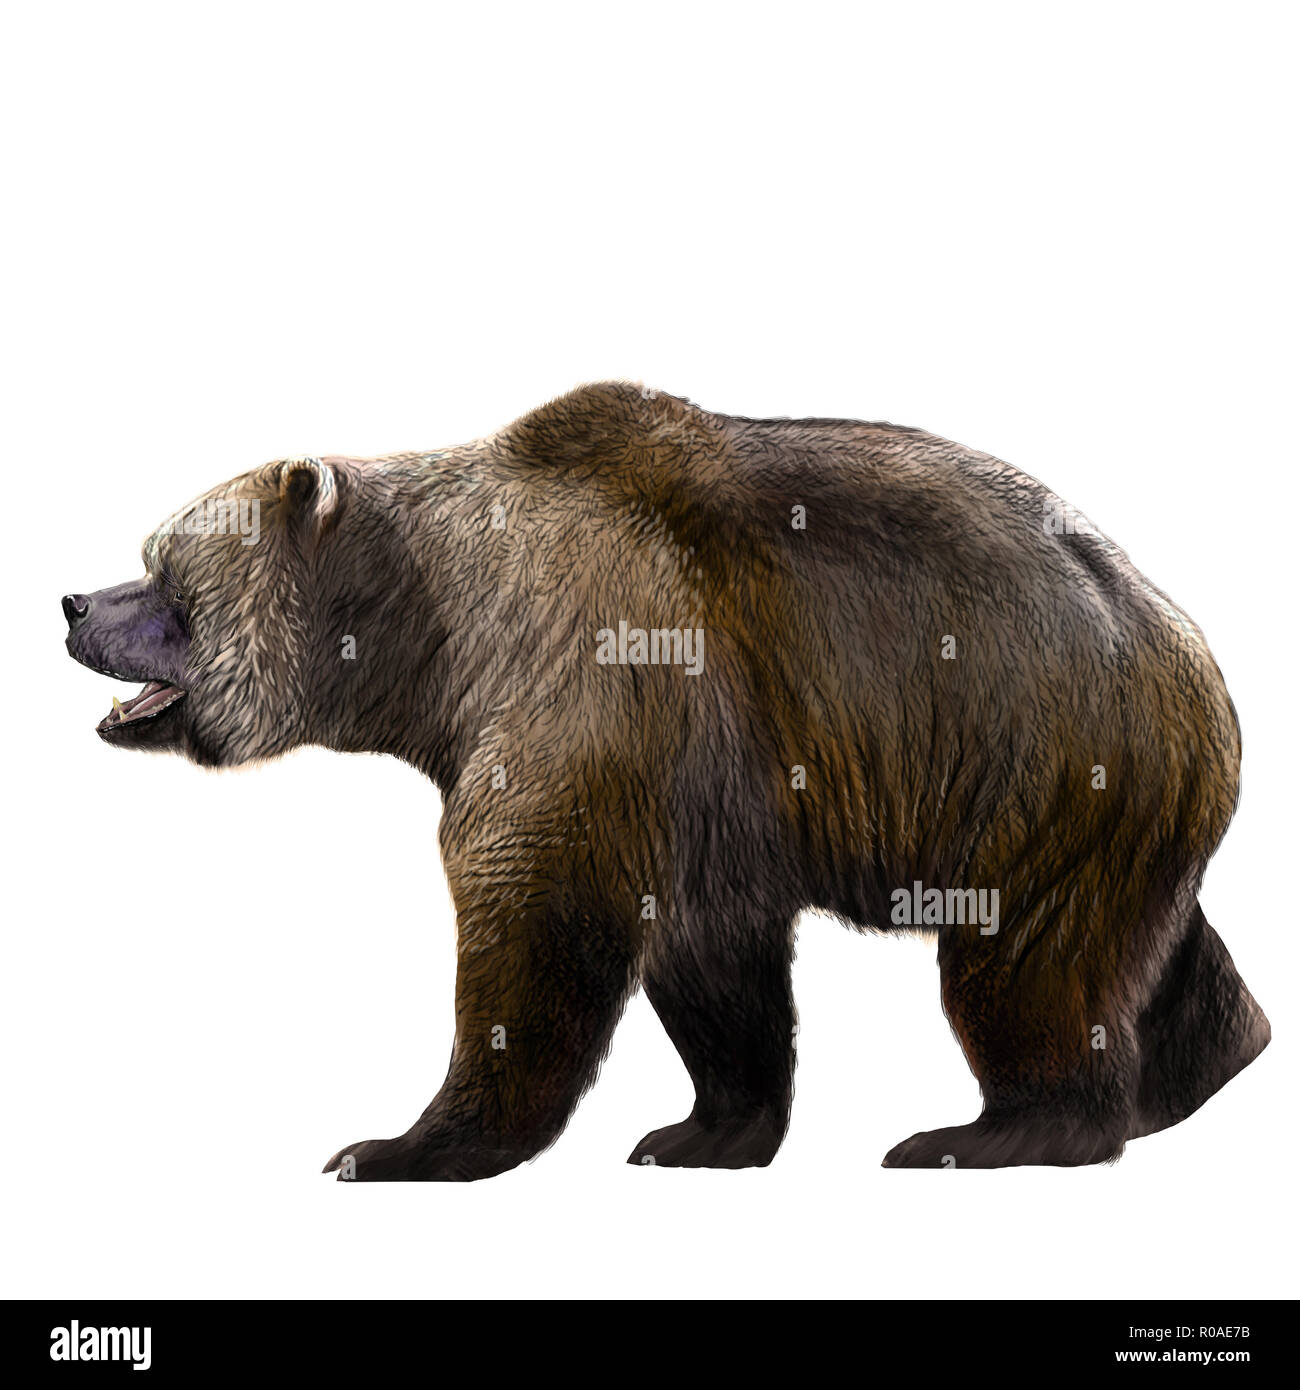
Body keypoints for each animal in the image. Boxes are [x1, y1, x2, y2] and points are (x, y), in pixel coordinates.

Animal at [63, 382, 1270, 1179]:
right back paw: (1213, 1063)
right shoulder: (699, 780)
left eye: (165, 571)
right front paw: (701, 1130)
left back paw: (986, 1133)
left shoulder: (584, 696)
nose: (74, 603)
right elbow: (711, 955)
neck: (431, 645)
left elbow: (532, 930)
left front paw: (396, 1144)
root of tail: (1181, 632)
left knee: (1023, 964)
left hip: (1041, 757)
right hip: (1106, 802)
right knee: (1138, 945)